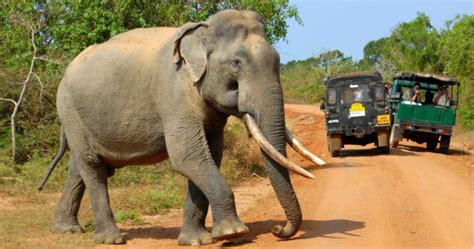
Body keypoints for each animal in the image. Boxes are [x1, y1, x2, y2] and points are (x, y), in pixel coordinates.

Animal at [39, 9, 324, 245]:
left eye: (277, 61)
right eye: (236, 63)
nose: (278, 229)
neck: (201, 31)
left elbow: (210, 156)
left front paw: (196, 240)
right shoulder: (173, 93)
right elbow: (188, 156)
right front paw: (233, 233)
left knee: (79, 166)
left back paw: (67, 230)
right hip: (69, 109)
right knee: (93, 167)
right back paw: (111, 239)